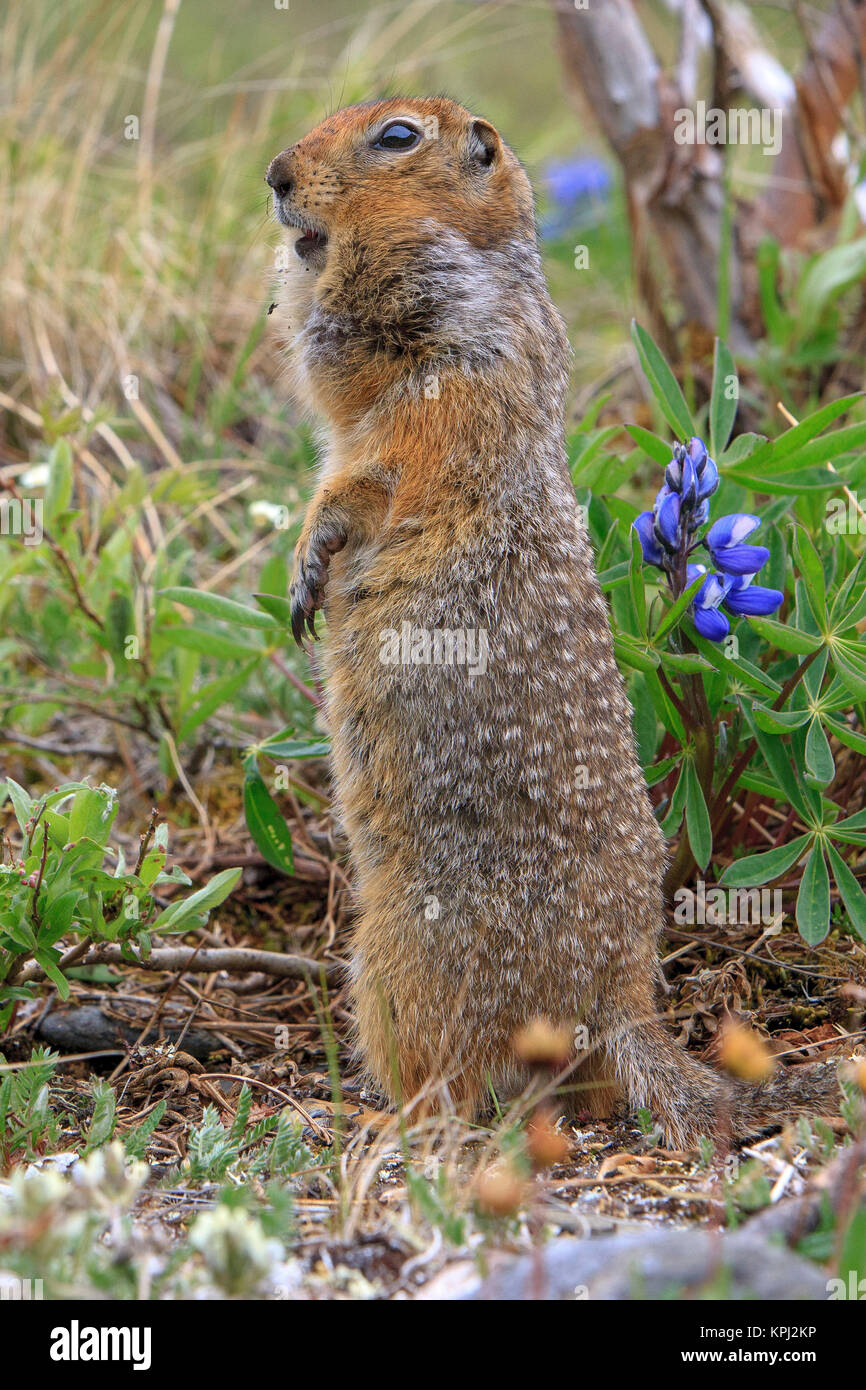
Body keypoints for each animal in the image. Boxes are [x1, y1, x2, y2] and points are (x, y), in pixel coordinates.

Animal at [266, 97, 841, 1147]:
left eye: (397, 135)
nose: (277, 176)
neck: (484, 267)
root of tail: (620, 1002)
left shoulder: (434, 371)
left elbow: (366, 471)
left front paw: (307, 564)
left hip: (396, 957)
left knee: (456, 1085)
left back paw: (382, 1121)